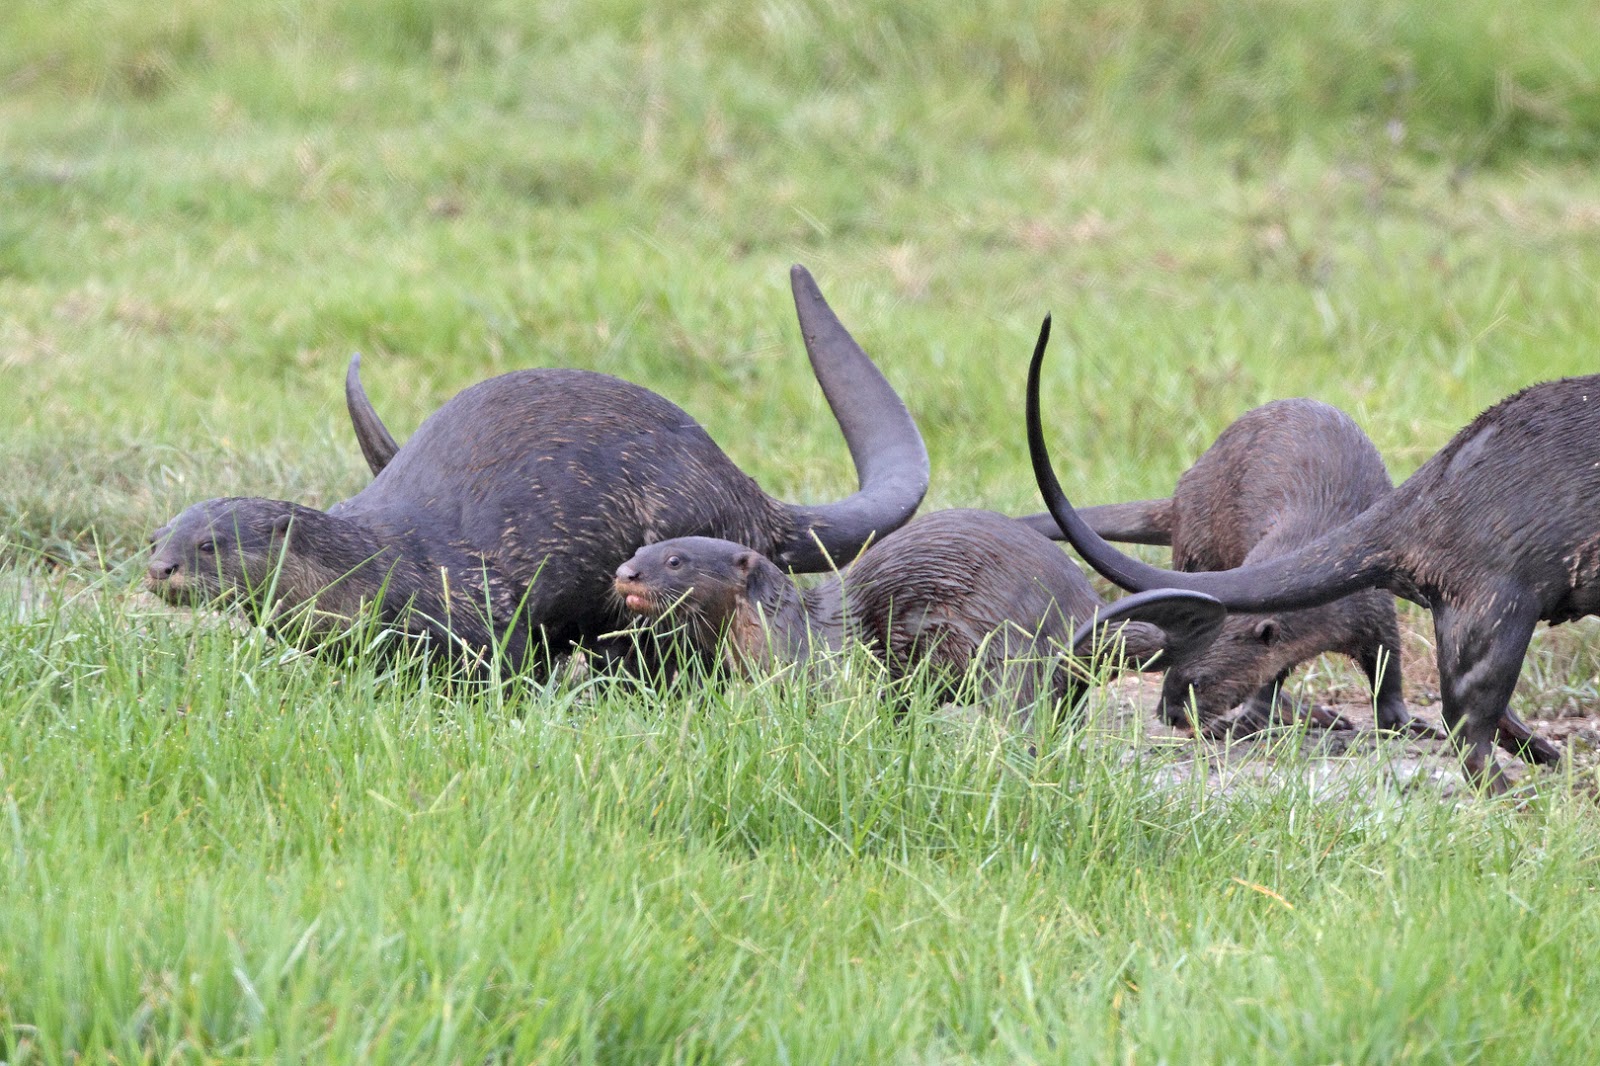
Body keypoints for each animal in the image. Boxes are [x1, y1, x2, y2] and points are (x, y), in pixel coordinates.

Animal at [146, 266, 931, 673]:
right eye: (157, 538)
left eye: (210, 545)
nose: (160, 569)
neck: (386, 567)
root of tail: (747, 496)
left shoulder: (481, 610)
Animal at [612, 509, 1227, 719]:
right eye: (641, 550)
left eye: (674, 560)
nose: (625, 573)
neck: (786, 632)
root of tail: (1082, 605)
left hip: (1004, 648)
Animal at [1024, 316, 1582, 788]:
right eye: (1169, 678)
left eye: (1196, 683)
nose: (1168, 713)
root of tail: (1185, 490)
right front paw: (1251, 720)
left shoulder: (1370, 605)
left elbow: (1388, 669)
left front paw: (1403, 722)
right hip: (1197, 548)